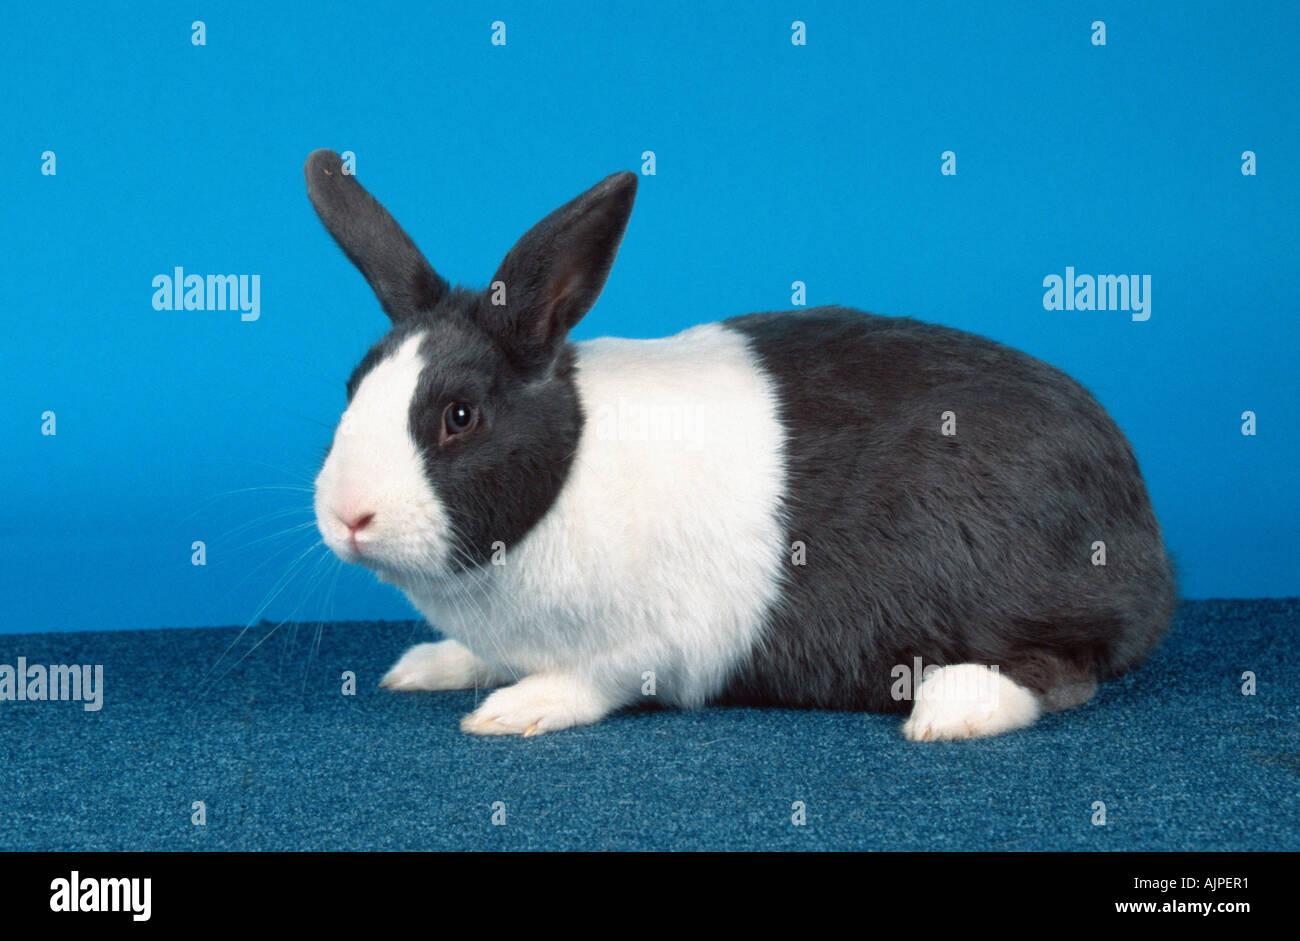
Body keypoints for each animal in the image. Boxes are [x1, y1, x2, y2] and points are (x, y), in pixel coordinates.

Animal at [305, 149, 1176, 740]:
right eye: (351, 386)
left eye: (459, 415)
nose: (348, 517)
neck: (564, 476)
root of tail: (1145, 539)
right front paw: (427, 666)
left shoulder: (652, 639)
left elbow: (591, 679)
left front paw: (517, 708)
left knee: (1064, 669)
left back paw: (950, 709)